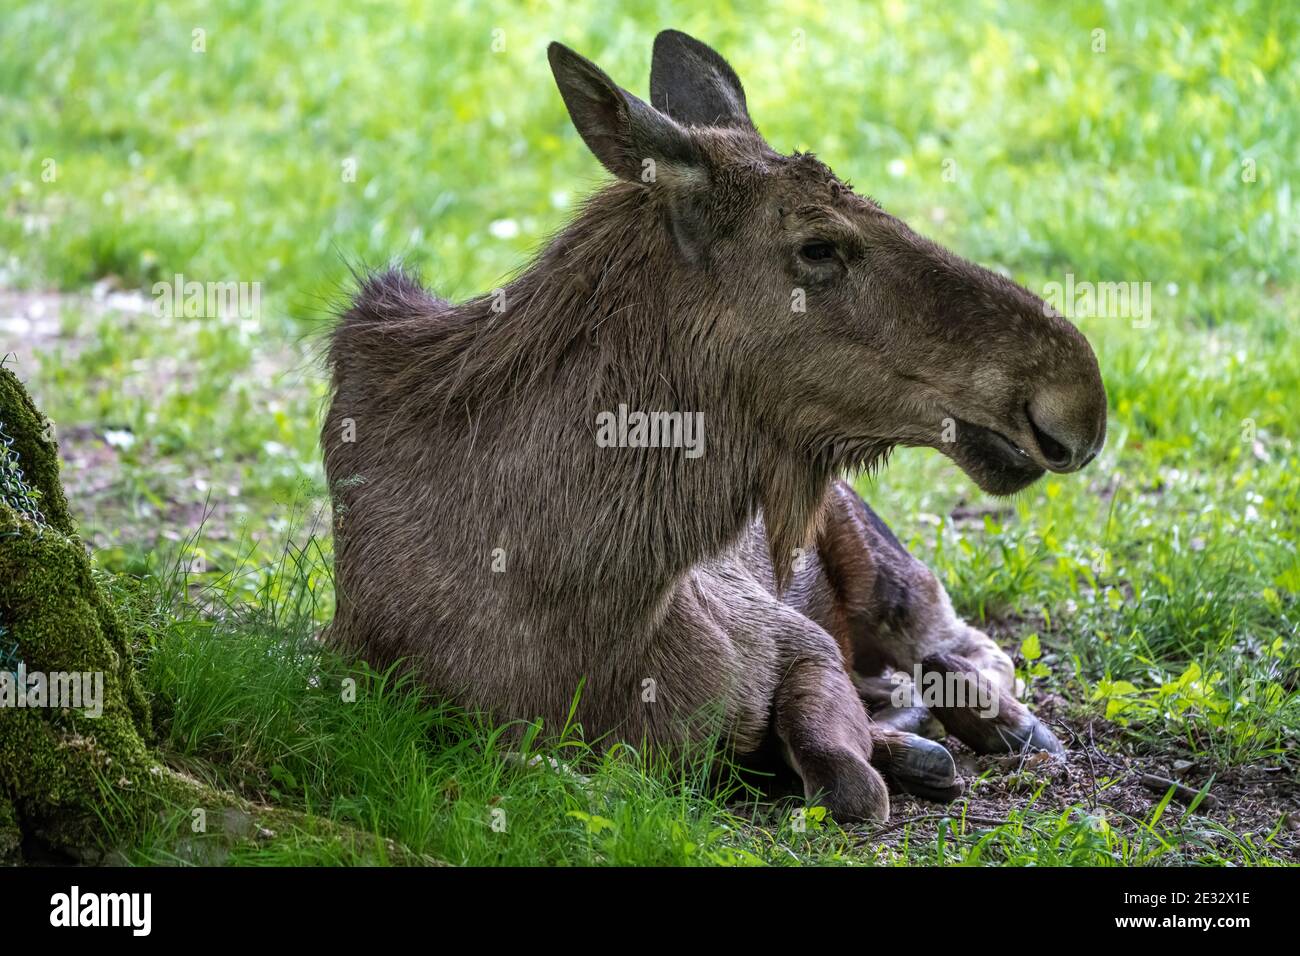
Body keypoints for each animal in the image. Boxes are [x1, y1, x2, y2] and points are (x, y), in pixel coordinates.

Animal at [322, 30, 1107, 822]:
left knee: (966, 644)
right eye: (819, 246)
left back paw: (1001, 723)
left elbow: (846, 779)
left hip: (882, 565)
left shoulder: (795, 639)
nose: (1080, 395)